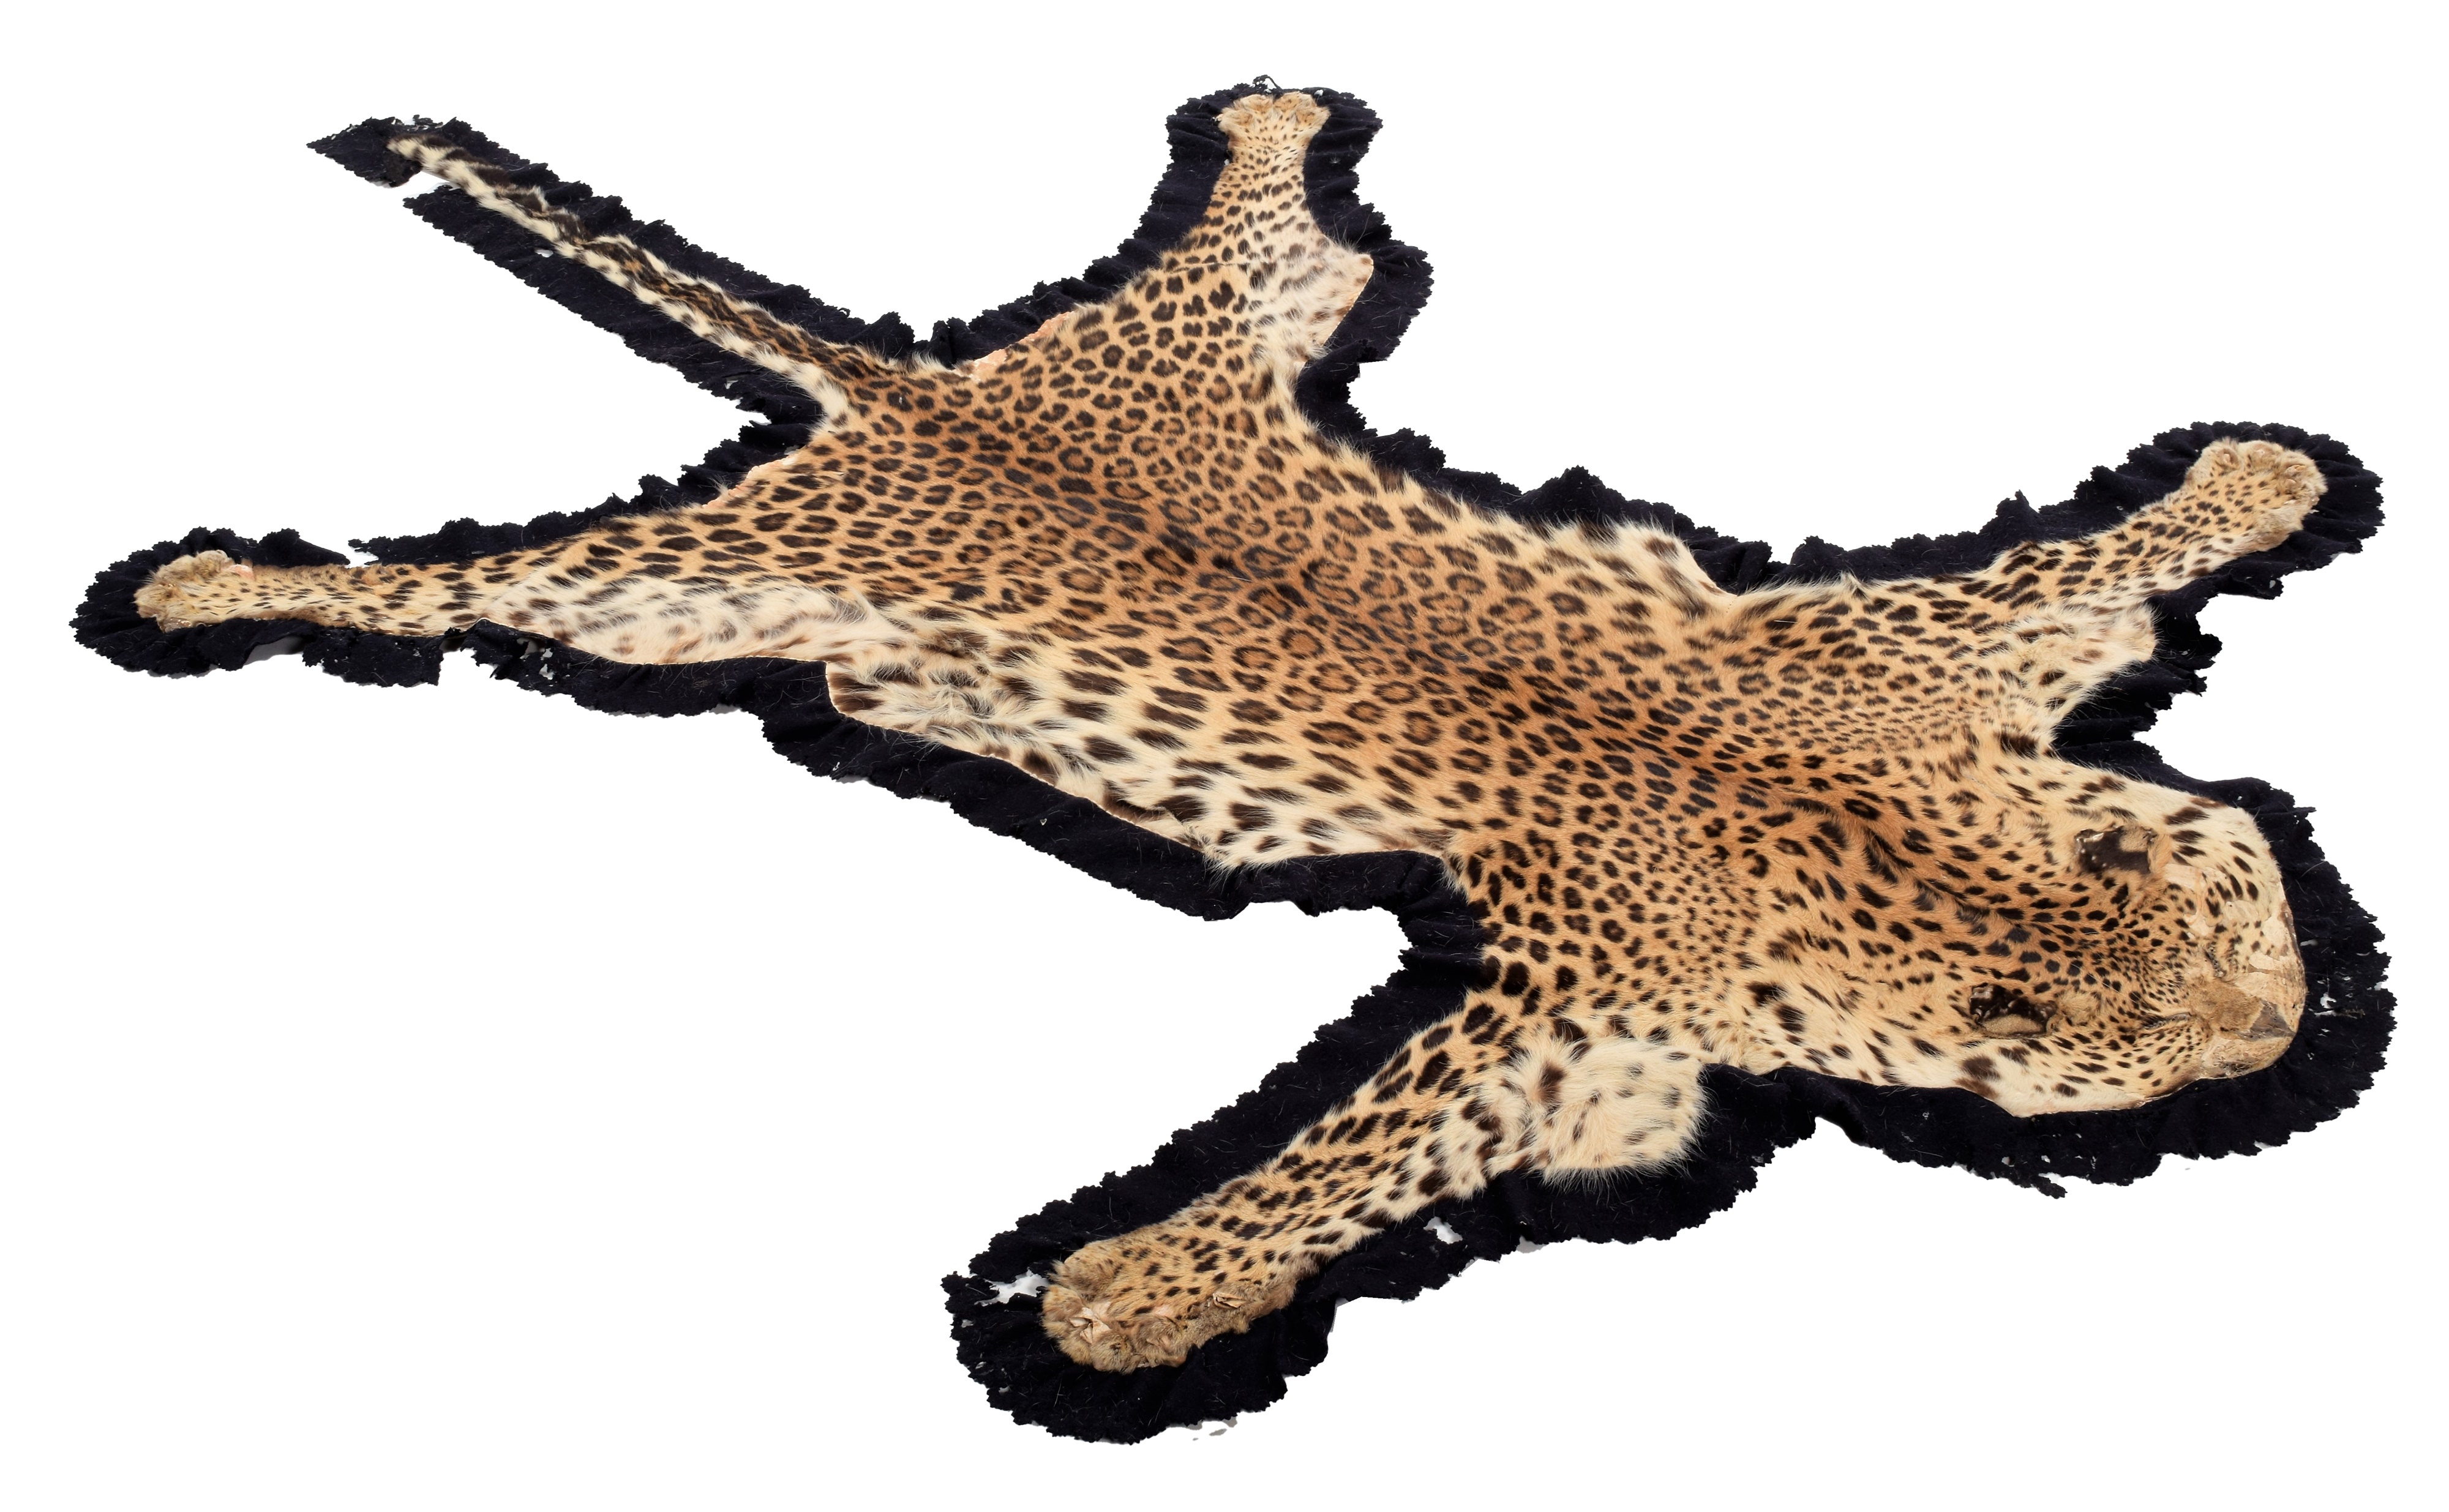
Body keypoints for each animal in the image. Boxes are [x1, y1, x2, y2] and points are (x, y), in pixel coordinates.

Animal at [106, 87, 2337, 1378]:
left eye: (2229, 902)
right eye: (2073, 1048)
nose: (2279, 1036)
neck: (1842, 809)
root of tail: (918, 390)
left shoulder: (1937, 651)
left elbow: (2101, 549)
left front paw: (2263, 476)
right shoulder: (1554, 995)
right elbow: (1348, 1147)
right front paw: (1130, 1294)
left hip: (1230, 340)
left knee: (1274, 232)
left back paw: (1270, 108)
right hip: (671, 590)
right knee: (447, 591)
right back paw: (204, 585)